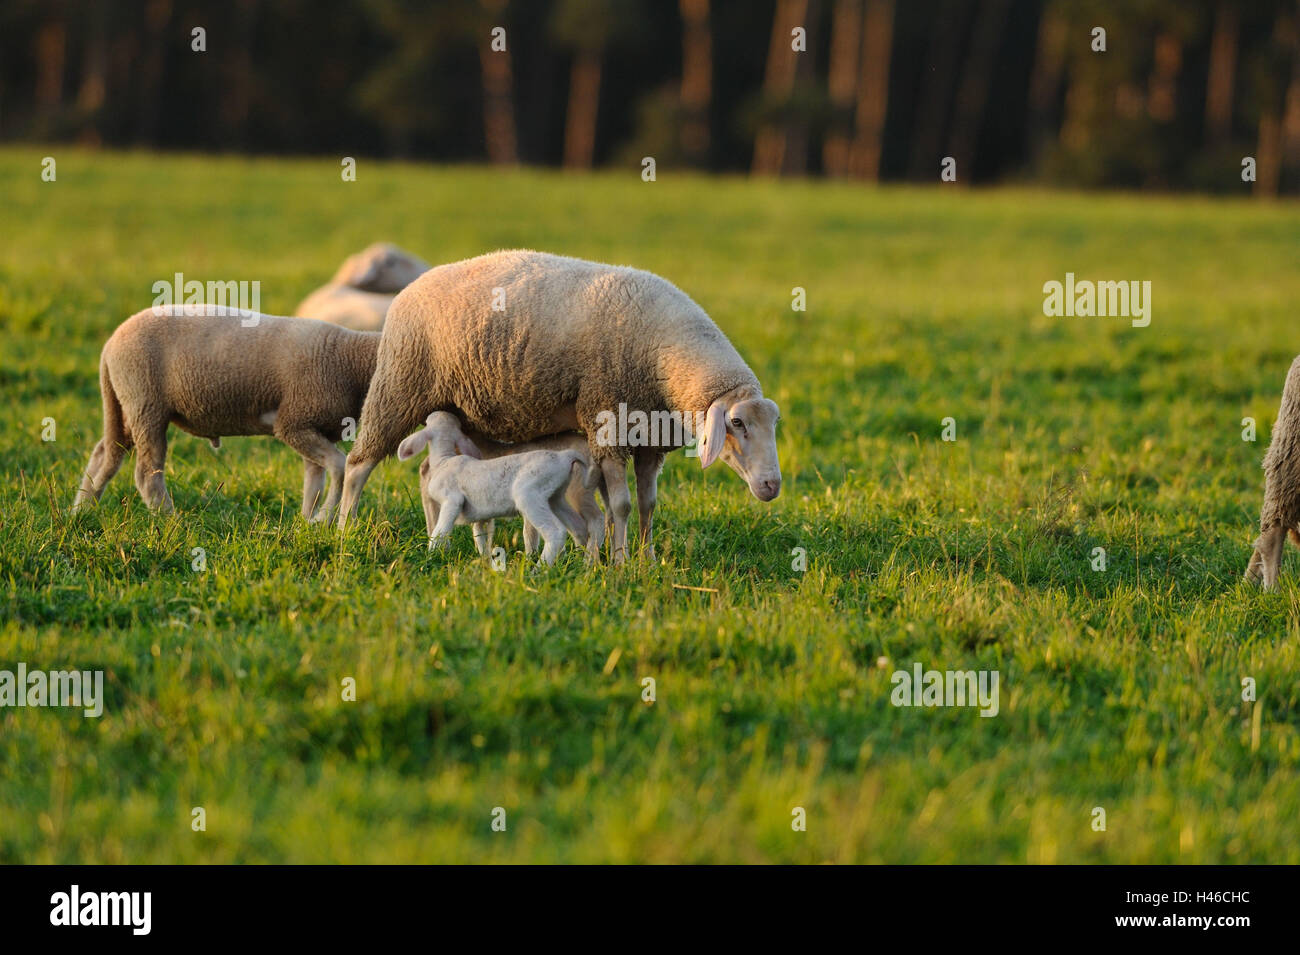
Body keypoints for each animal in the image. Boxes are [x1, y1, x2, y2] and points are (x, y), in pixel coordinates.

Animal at [72, 305, 378, 522]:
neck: (348, 358)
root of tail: (110, 344)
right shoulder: (293, 423)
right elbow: (338, 466)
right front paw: (322, 519)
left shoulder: (309, 426)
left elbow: (314, 482)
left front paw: (307, 522)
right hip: (145, 402)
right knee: (147, 472)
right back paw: (170, 519)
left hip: (125, 404)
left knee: (106, 454)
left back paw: (81, 510)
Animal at [397, 411, 594, 566]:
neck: (444, 460)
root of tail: (565, 456)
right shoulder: (481, 516)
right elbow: (481, 537)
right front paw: (486, 561)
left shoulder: (451, 501)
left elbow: (440, 531)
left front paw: (431, 556)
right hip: (555, 495)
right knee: (578, 526)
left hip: (529, 494)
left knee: (555, 532)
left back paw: (538, 569)